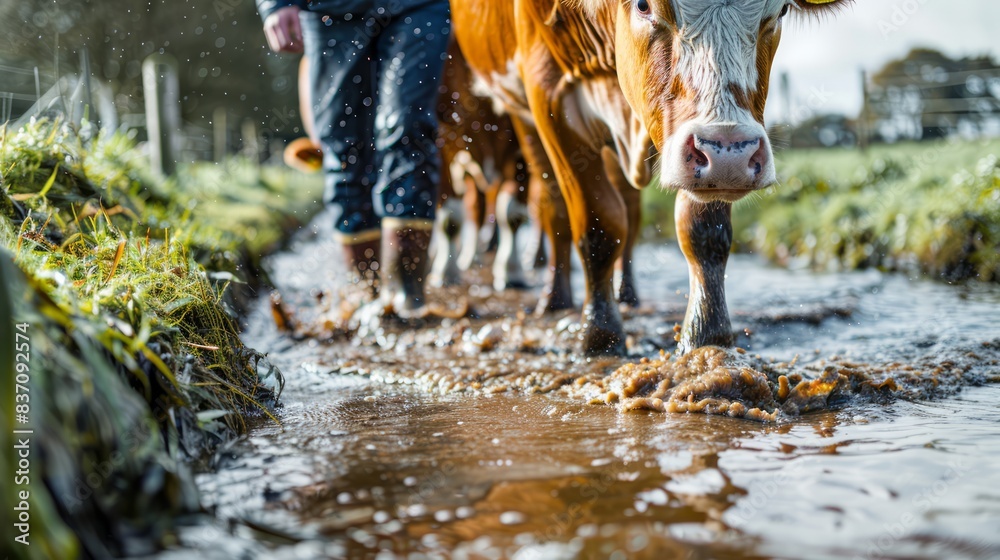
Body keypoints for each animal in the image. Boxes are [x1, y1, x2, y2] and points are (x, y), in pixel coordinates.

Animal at [452, 0, 850, 356]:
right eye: (644, 5)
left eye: (780, 11)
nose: (730, 153)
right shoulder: (547, 94)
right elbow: (599, 225)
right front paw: (600, 334)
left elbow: (703, 231)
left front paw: (706, 336)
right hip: (522, 119)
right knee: (552, 206)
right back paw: (554, 298)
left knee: (628, 210)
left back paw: (627, 294)